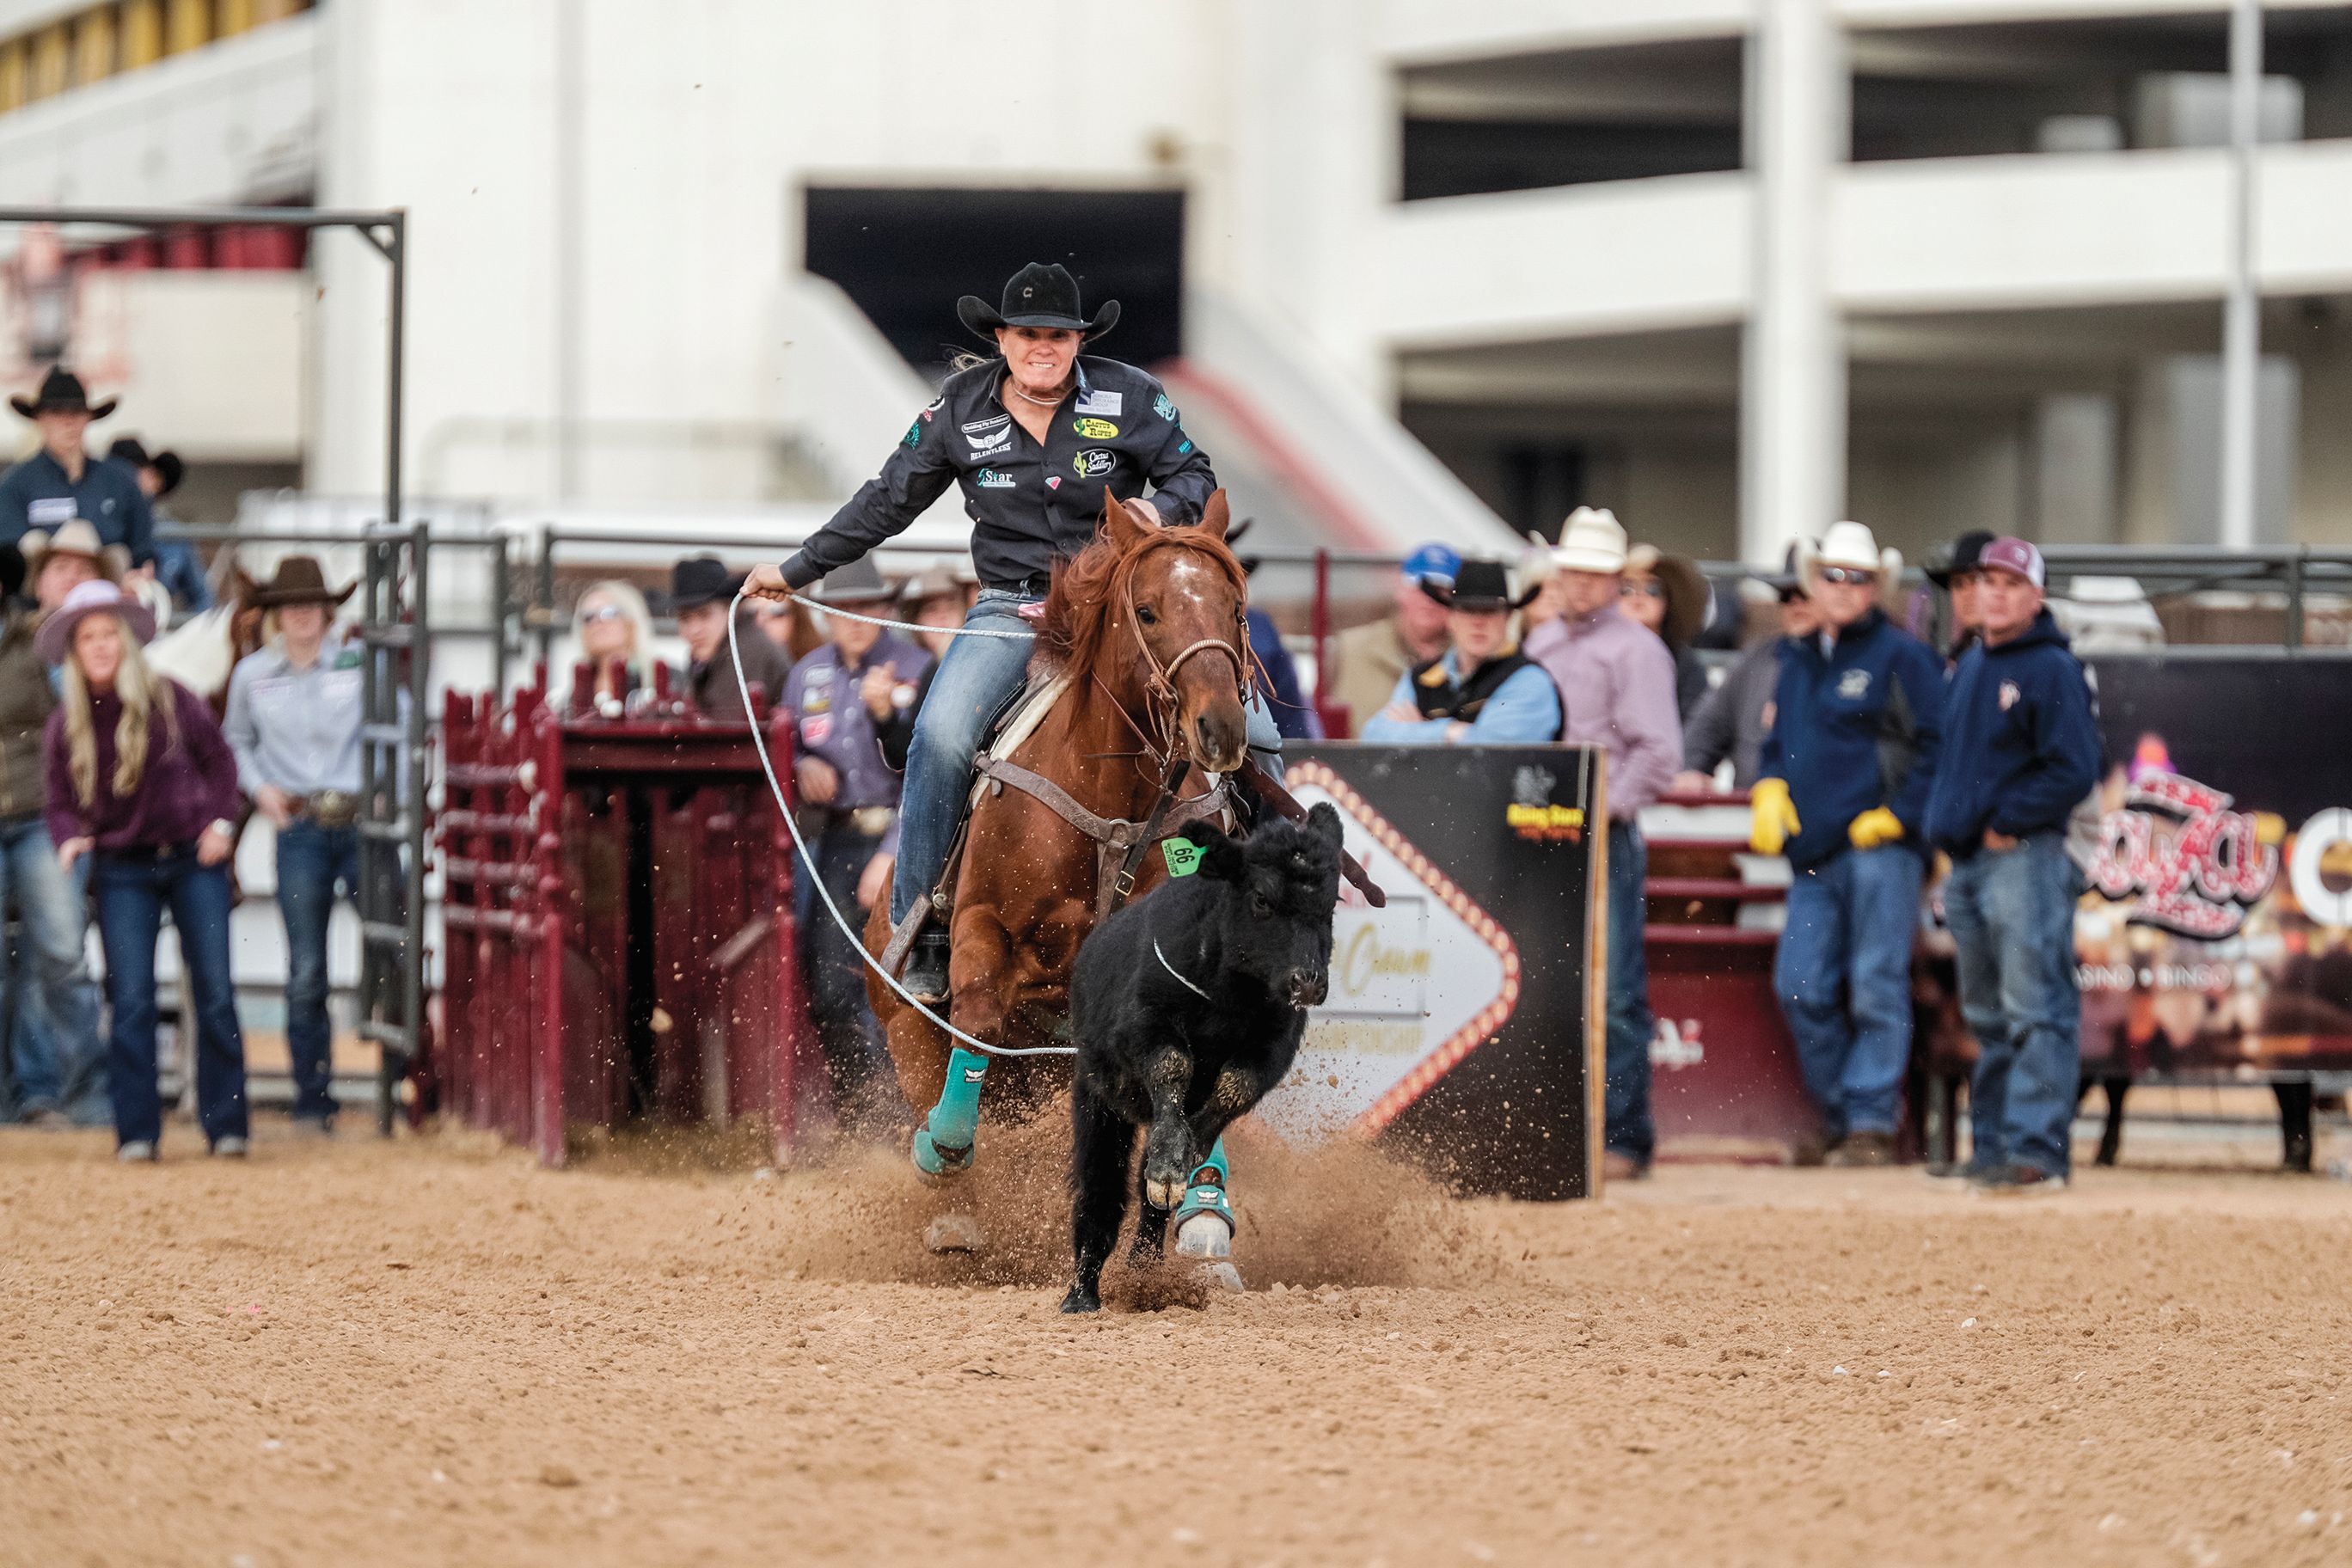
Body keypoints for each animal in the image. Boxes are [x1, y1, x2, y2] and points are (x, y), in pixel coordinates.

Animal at [861, 489, 1256, 1265]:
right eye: (1148, 610)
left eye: (1233, 607)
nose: (1220, 728)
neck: (1109, 807)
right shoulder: (984, 923)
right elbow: (978, 1016)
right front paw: (942, 1147)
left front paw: (1191, 1197)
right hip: (907, 1029)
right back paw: (956, 1215)